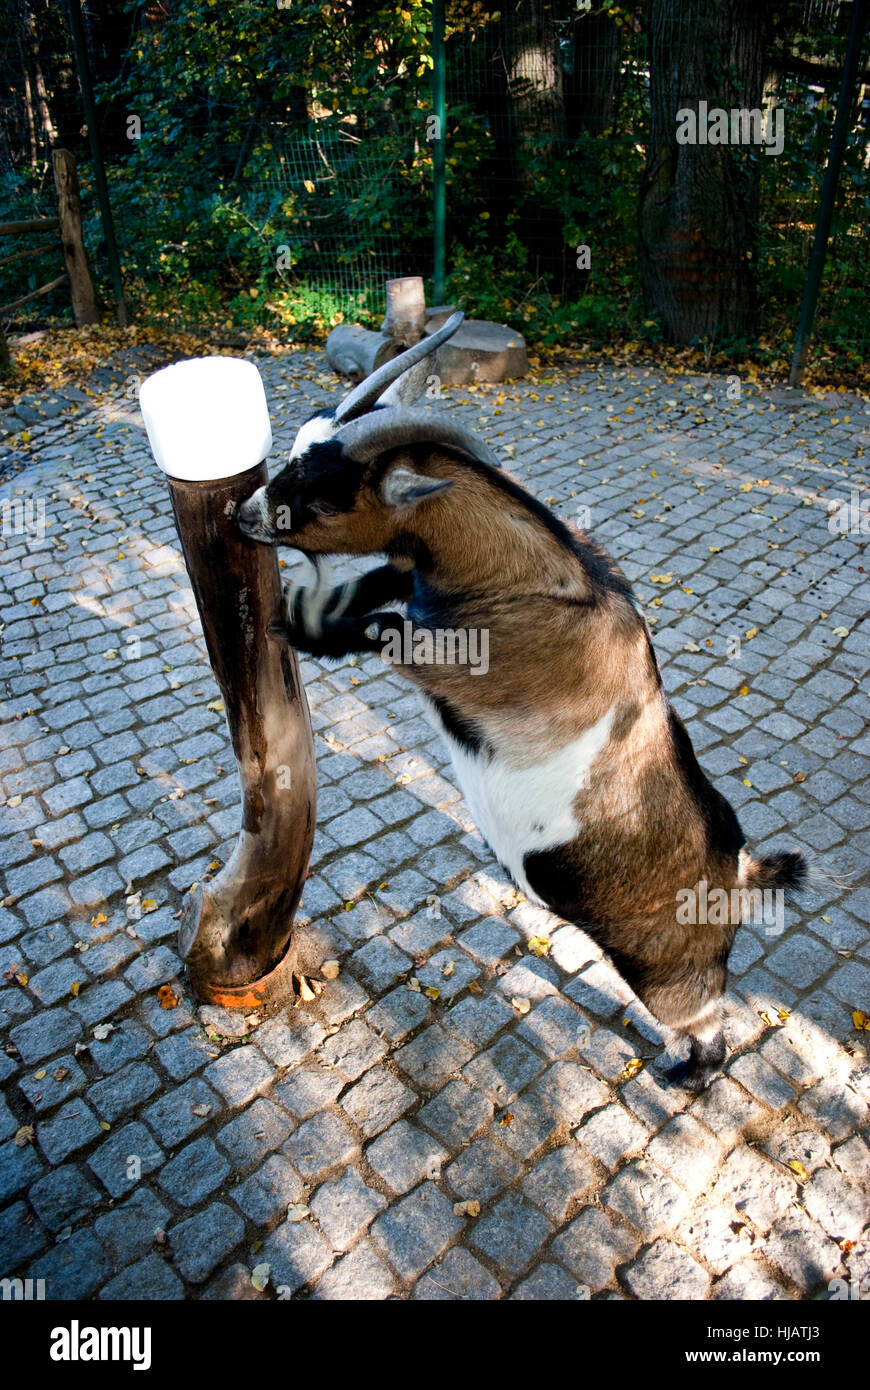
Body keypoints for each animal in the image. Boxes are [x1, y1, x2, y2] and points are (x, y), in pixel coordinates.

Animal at [237, 319, 807, 1091]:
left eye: (324, 493)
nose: (244, 514)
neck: (526, 581)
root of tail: (741, 872)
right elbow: (388, 578)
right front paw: (328, 601)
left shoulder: (468, 669)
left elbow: (387, 625)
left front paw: (306, 622)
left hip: (666, 968)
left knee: (706, 1024)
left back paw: (685, 1076)